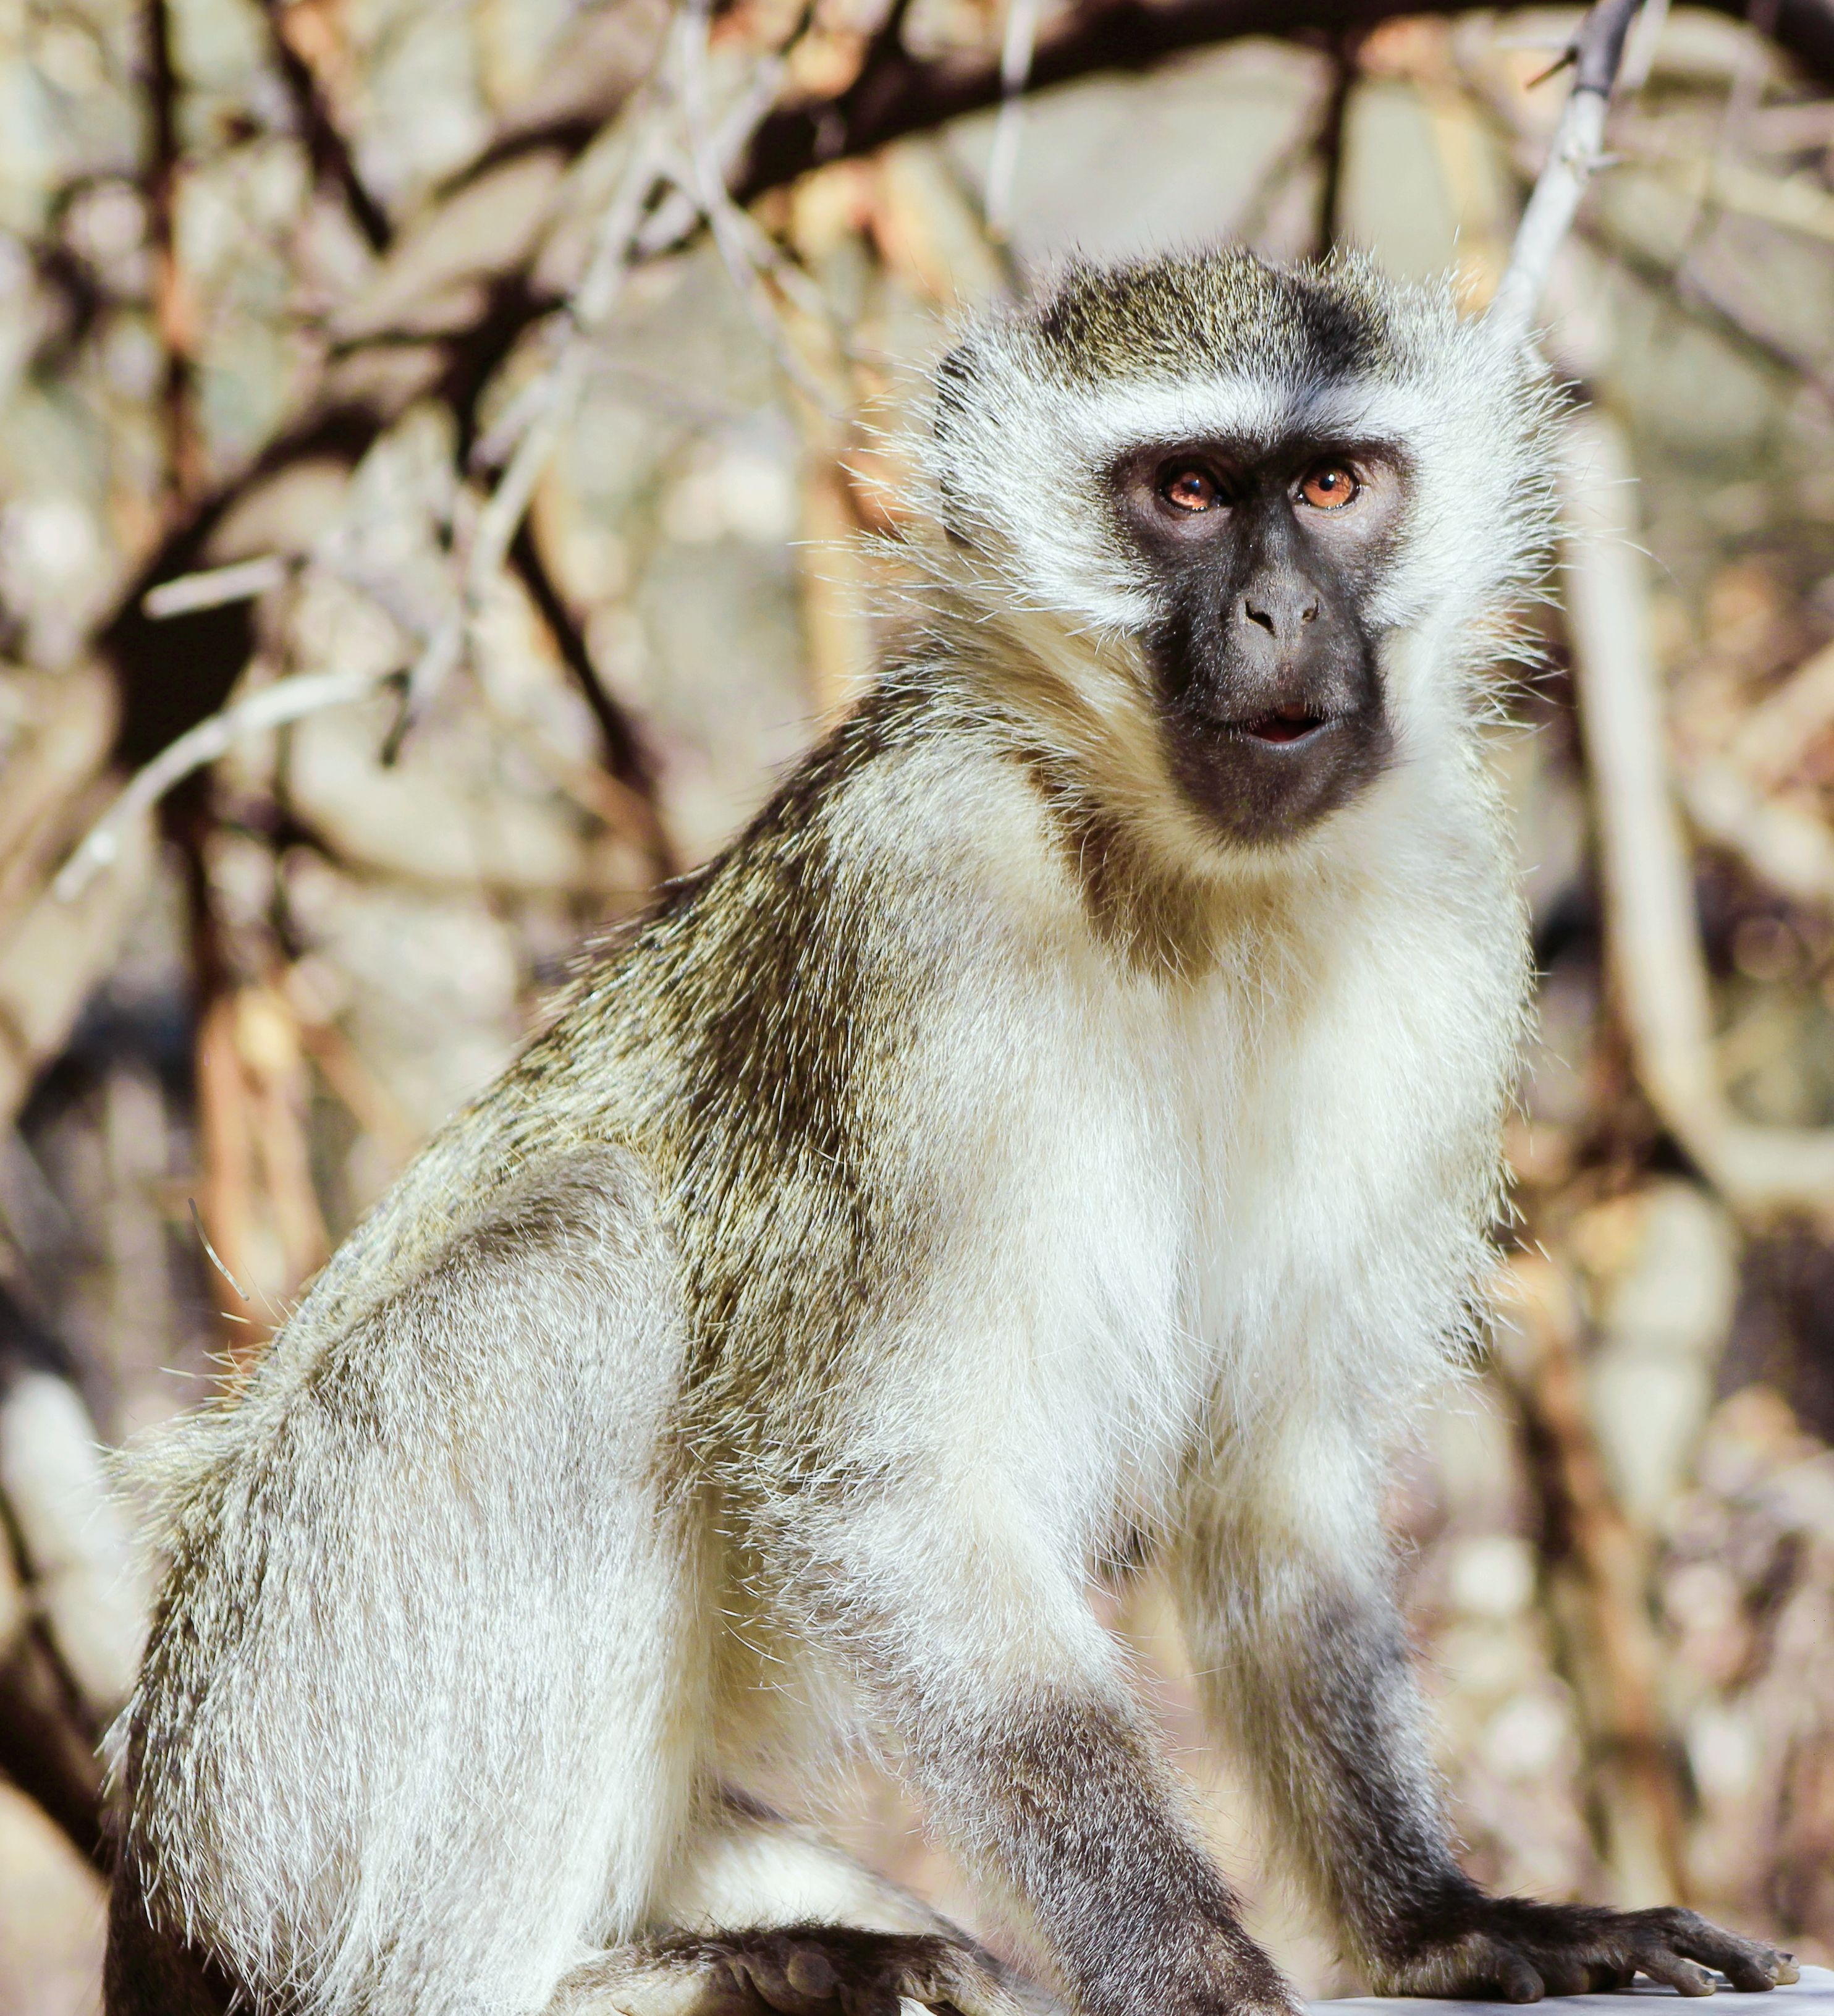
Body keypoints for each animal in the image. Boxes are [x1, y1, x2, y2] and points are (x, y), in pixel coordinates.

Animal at [105, 248, 1797, 2016]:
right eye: (1187, 494)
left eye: (1334, 487)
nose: (1279, 614)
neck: (1187, 885)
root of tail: (159, 1883)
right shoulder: (925, 885)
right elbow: (892, 1490)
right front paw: (1193, 1970)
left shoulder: (1448, 927)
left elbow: (1275, 1468)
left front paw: (1440, 1923)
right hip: (277, 1779)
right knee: (575, 1266)